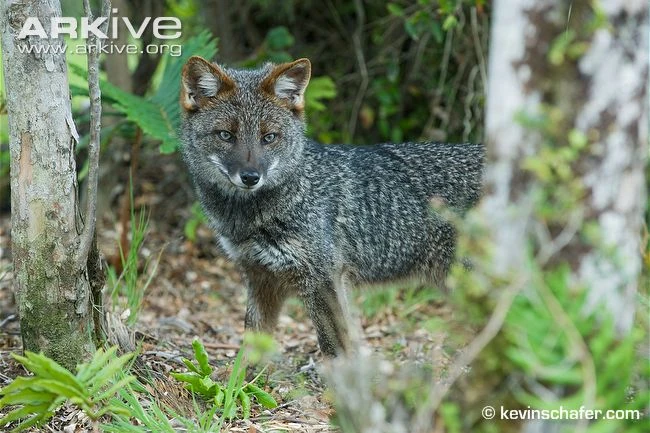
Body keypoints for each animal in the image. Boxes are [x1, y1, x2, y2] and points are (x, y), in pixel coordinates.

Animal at [180, 56, 484, 356]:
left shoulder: (325, 280)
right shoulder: (260, 278)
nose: (251, 177)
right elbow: (250, 350)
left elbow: (336, 349)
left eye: (269, 137)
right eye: (225, 135)